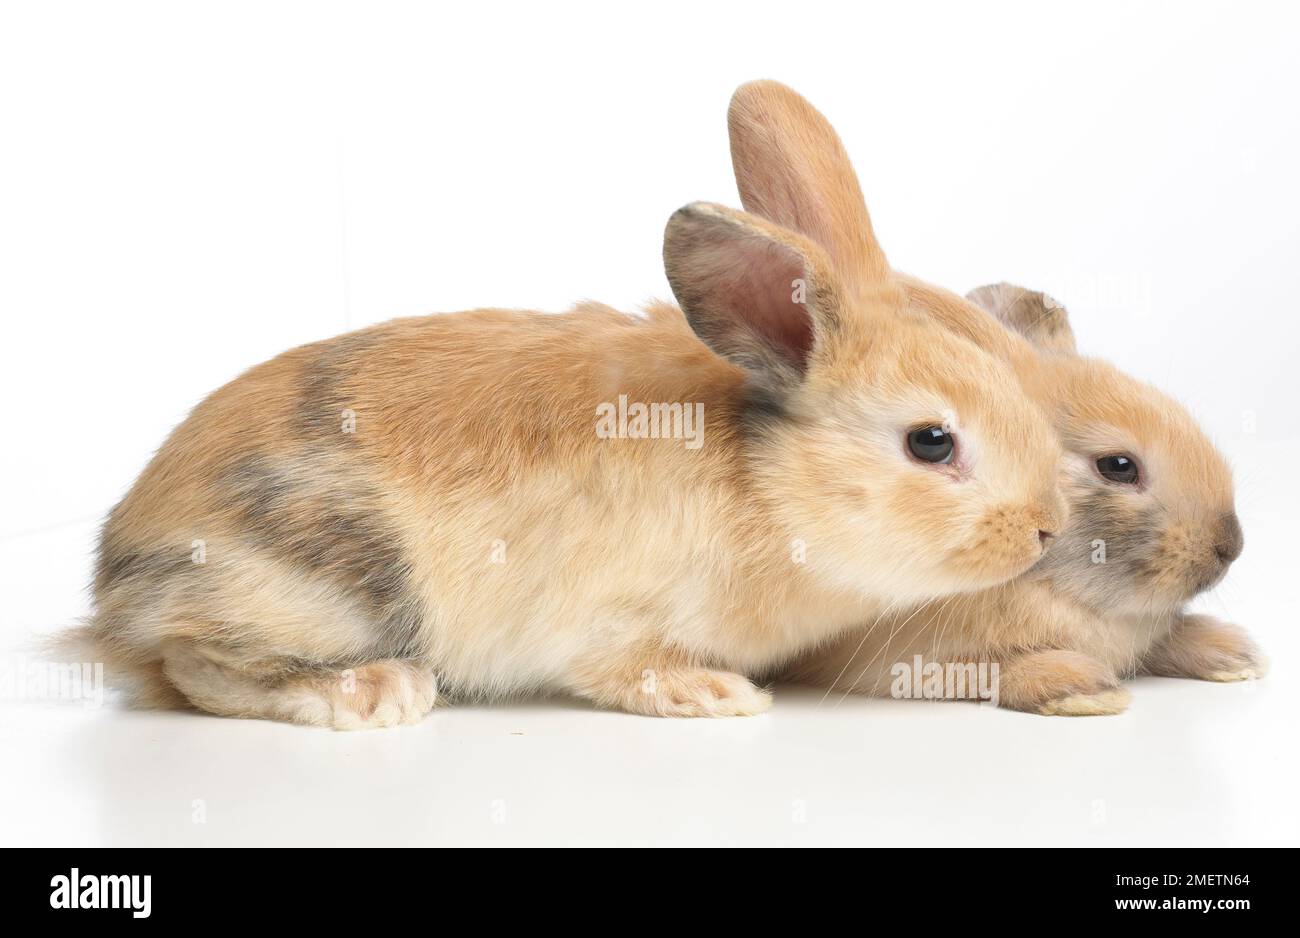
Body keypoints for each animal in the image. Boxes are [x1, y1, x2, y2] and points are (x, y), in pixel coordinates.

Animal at [56, 82, 1067, 729]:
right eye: (931, 443)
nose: (1047, 529)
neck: (772, 483)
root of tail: (117, 583)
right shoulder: (613, 620)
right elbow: (625, 669)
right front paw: (712, 697)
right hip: (328, 580)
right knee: (196, 665)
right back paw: (378, 694)